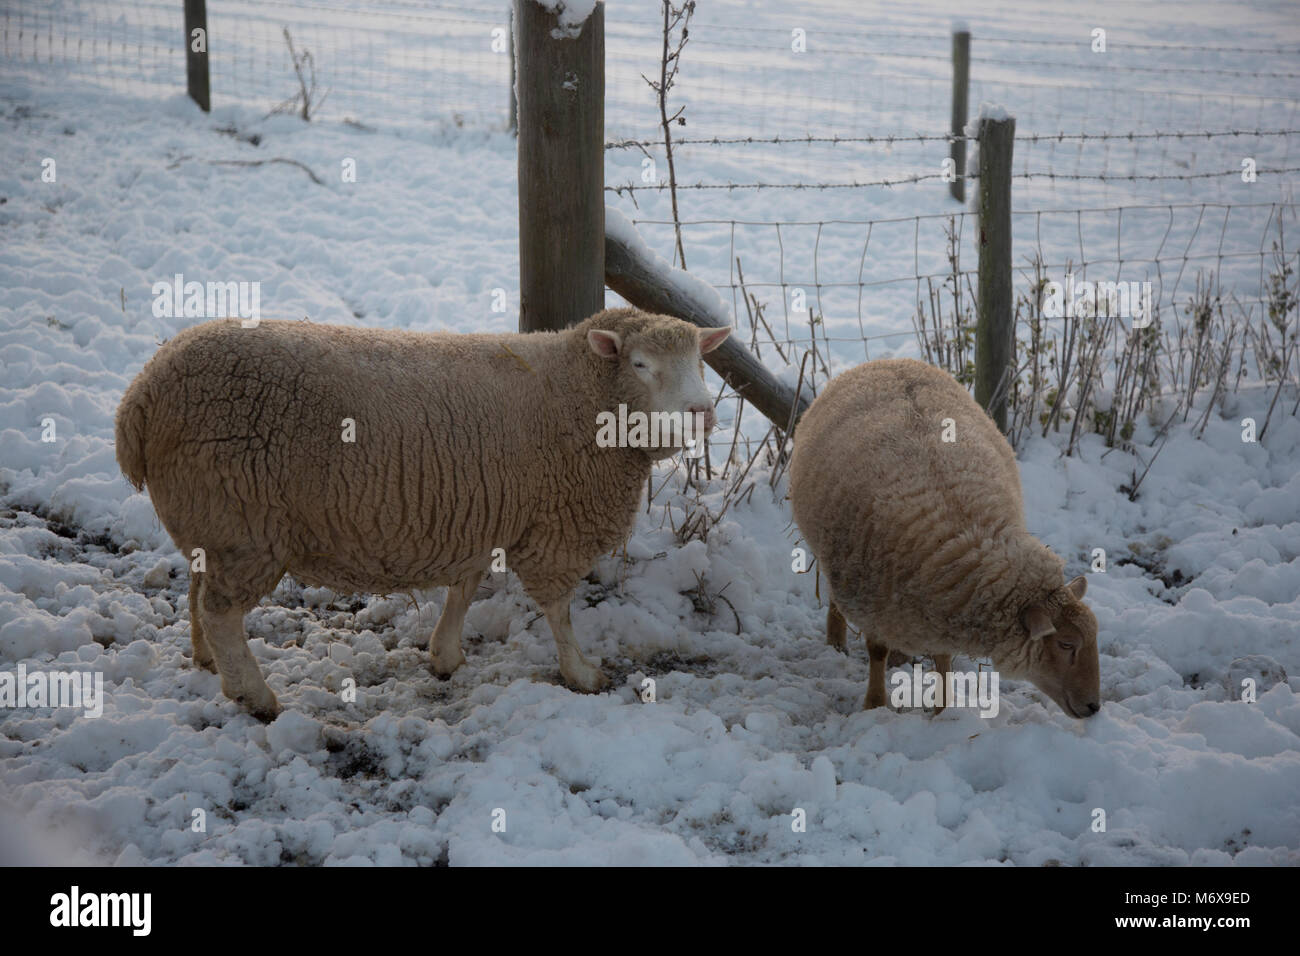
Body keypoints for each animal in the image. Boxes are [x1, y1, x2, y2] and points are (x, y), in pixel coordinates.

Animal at [115, 308, 730, 718]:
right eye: (642, 362)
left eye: (702, 363)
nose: (702, 413)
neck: (583, 397)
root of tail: (140, 396)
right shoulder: (555, 529)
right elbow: (558, 610)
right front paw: (580, 671)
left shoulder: (485, 513)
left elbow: (466, 586)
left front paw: (445, 655)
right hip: (244, 523)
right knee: (221, 610)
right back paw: (255, 695)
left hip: (214, 520)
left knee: (198, 590)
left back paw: (207, 662)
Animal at [789, 358, 1100, 719]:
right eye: (1066, 644)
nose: (1094, 706)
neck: (962, 531)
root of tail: (888, 361)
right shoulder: (872, 598)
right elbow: (876, 651)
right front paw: (875, 703)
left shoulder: (937, 604)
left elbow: (942, 657)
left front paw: (943, 710)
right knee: (835, 596)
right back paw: (837, 640)